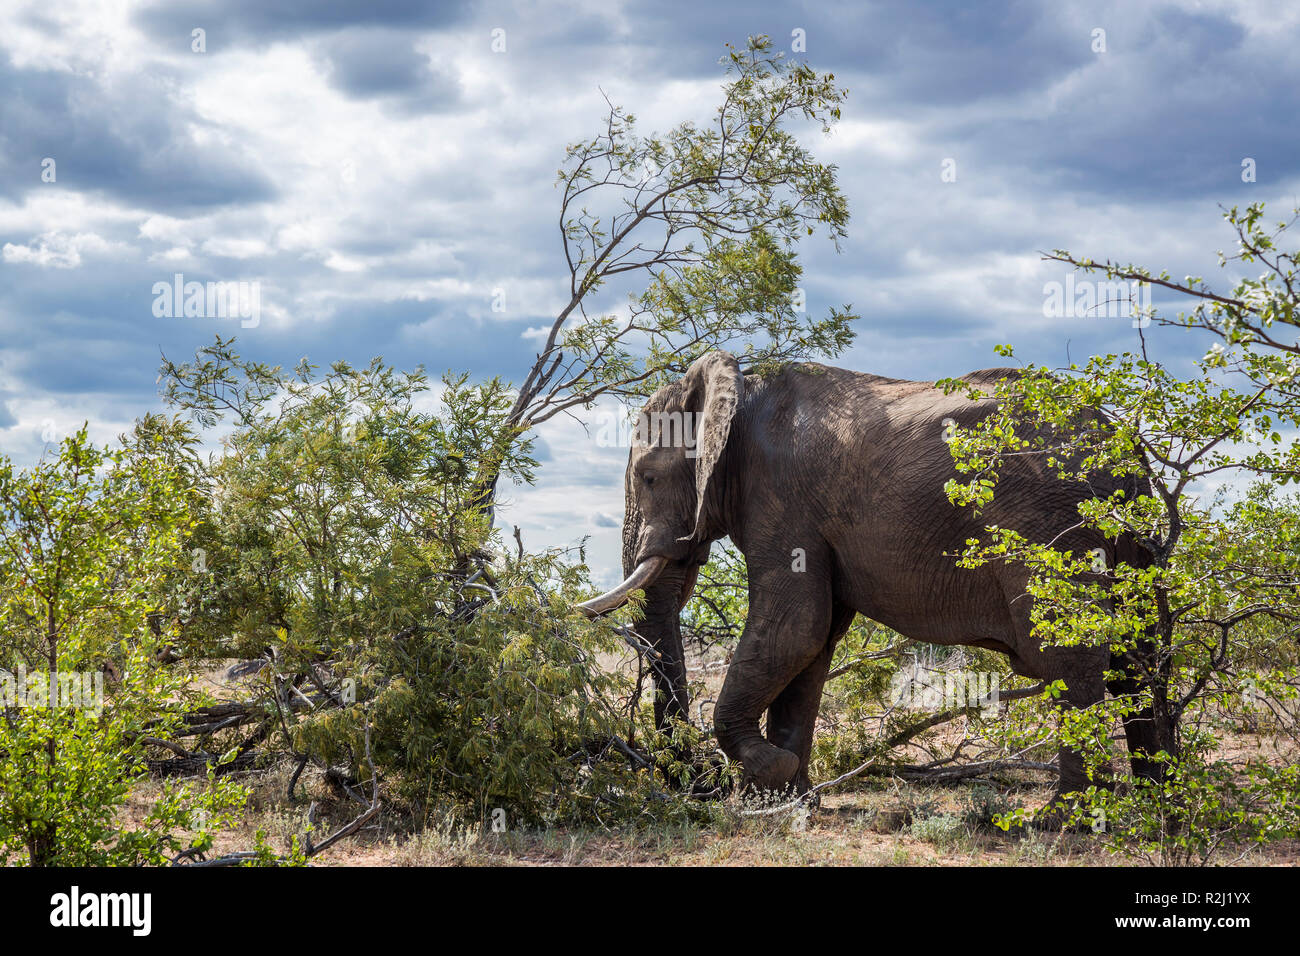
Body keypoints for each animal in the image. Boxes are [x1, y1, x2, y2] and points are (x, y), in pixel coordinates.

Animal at [578, 350, 1164, 804]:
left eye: (647, 478)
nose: (700, 783)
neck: (737, 388)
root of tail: (1132, 460)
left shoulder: (782, 500)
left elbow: (796, 627)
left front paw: (769, 772)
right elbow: (813, 644)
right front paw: (786, 800)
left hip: (1055, 528)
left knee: (1069, 653)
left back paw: (1064, 819)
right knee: (1138, 661)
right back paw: (1159, 803)